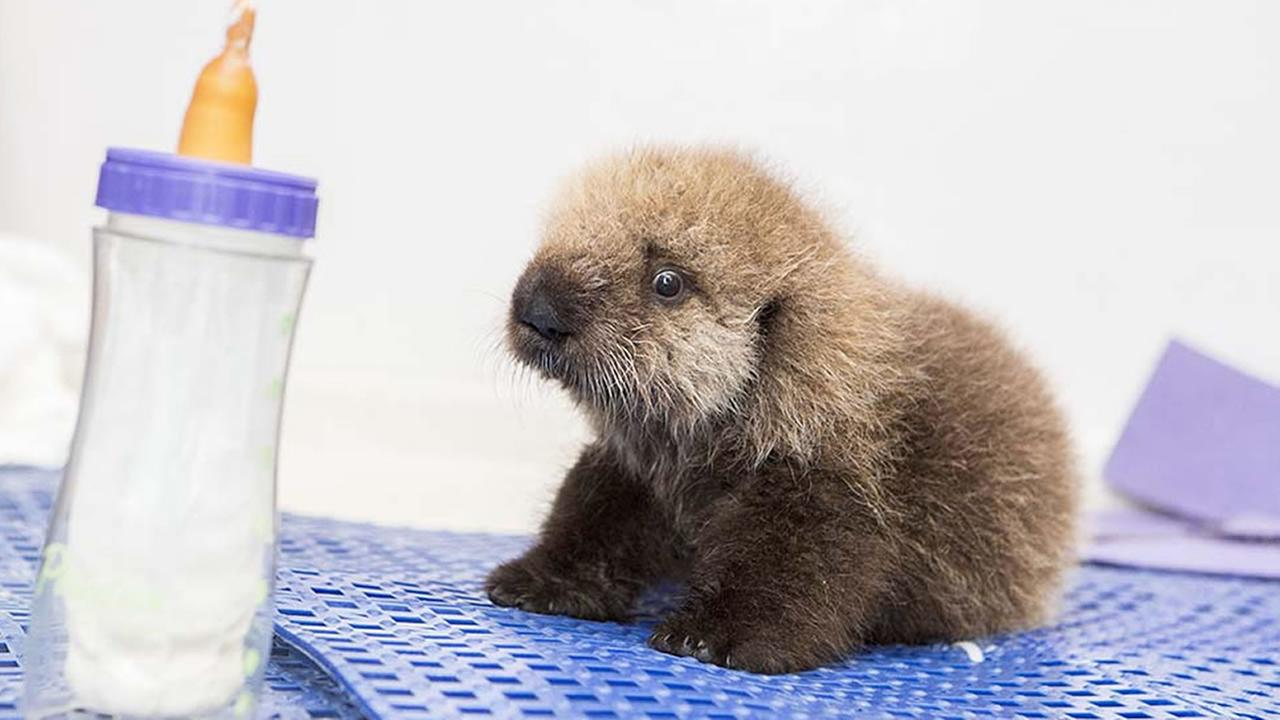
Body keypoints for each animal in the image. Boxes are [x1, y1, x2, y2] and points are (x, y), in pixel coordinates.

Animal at [486, 147, 1077, 674]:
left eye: (667, 282)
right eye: (566, 230)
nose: (539, 307)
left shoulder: (823, 490)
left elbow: (792, 565)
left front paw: (712, 634)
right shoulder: (633, 469)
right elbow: (591, 514)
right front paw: (539, 579)